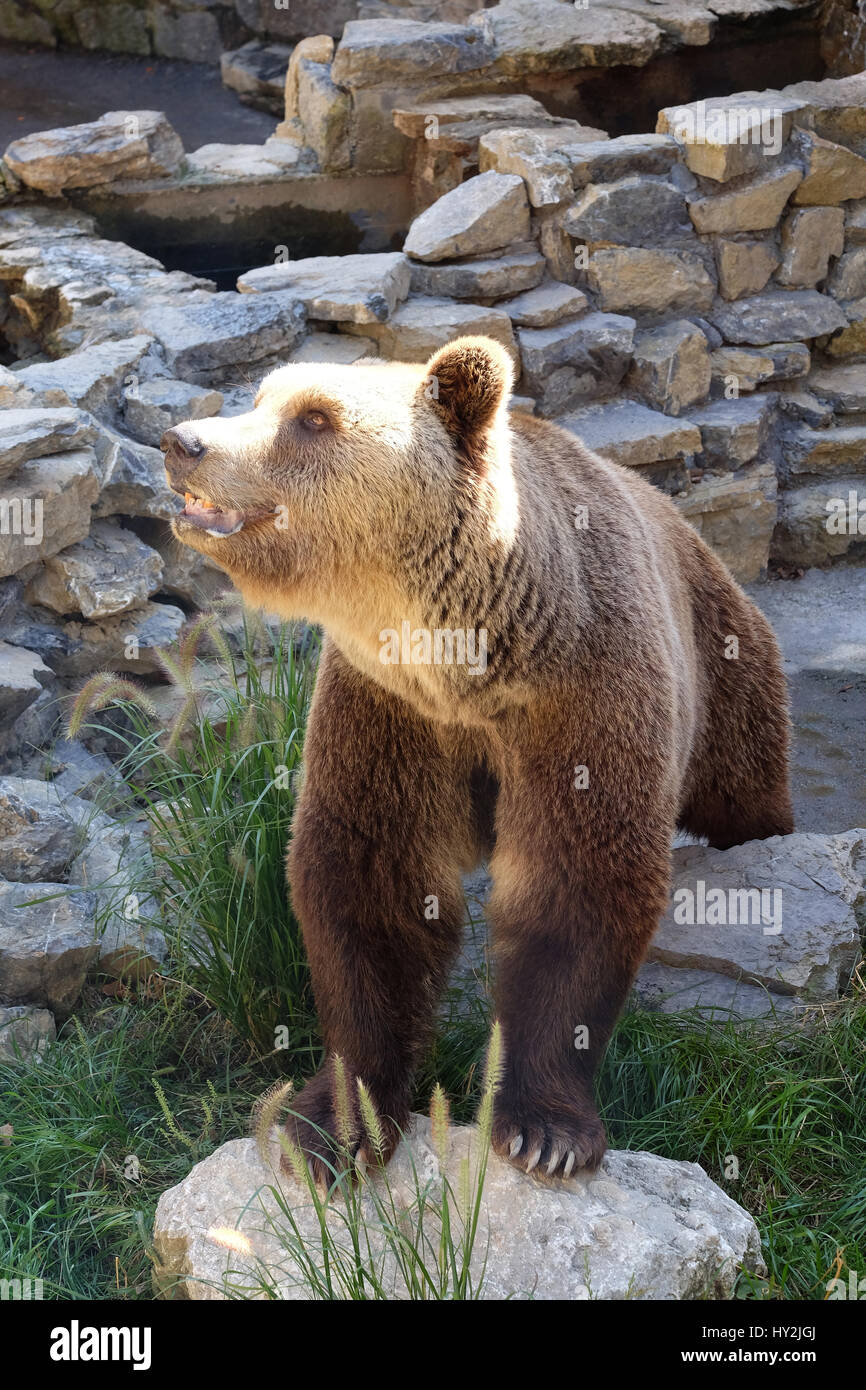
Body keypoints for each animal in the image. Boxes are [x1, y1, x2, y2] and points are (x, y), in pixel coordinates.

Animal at [161, 335, 793, 1183]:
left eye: (313, 419)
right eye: (262, 397)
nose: (183, 442)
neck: (470, 660)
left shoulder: (584, 689)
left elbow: (575, 878)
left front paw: (544, 1129)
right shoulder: (390, 708)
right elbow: (372, 879)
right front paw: (334, 1126)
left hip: (722, 662)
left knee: (746, 784)